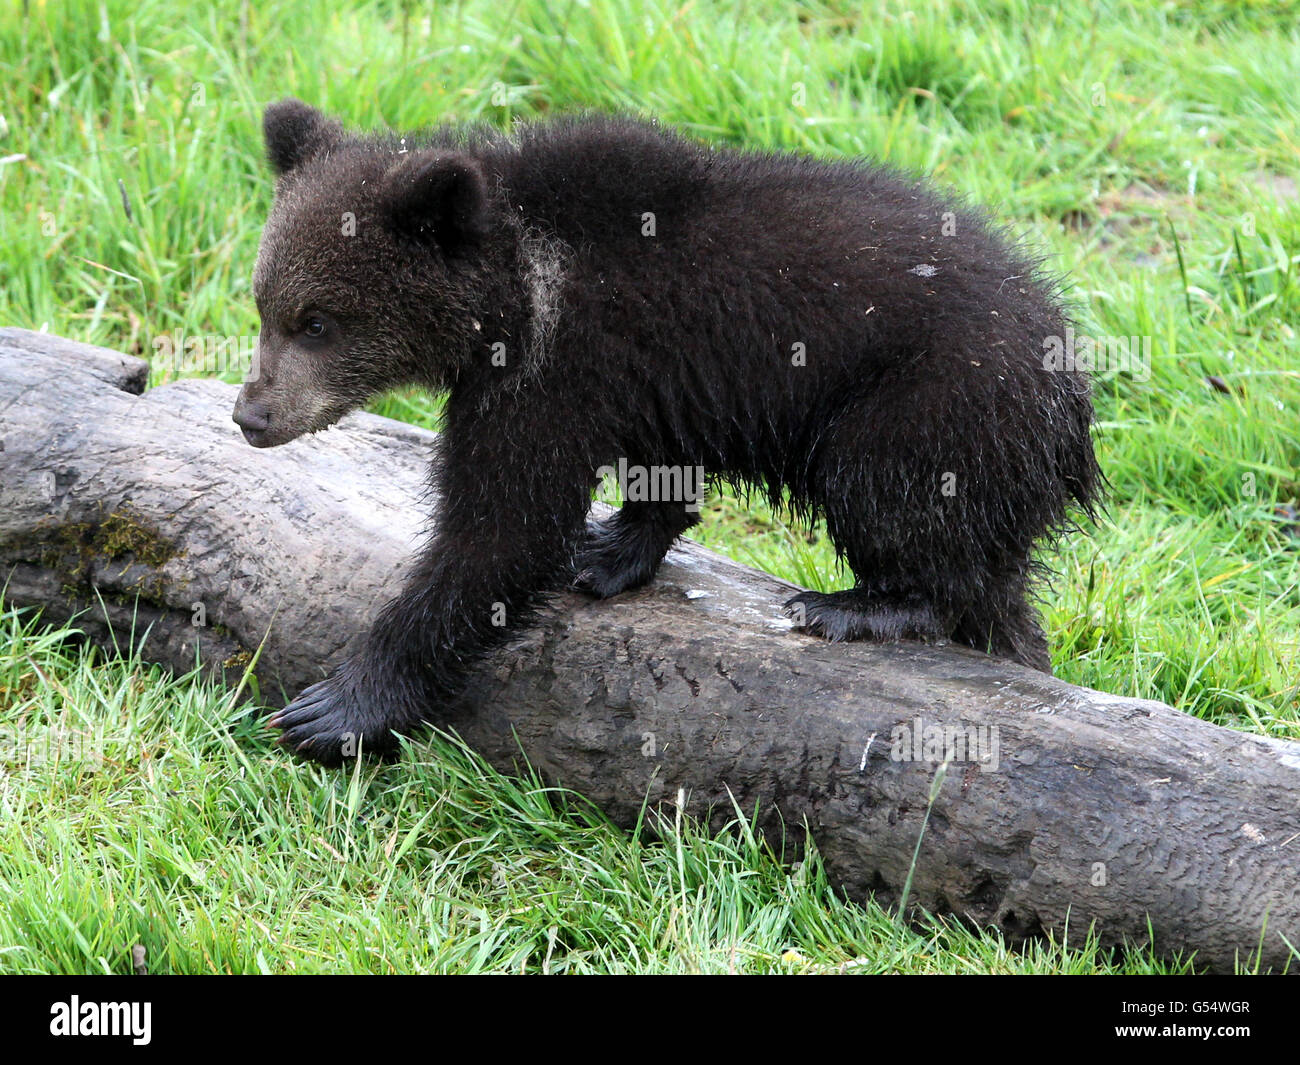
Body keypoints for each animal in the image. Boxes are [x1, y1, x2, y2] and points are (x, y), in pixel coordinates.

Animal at [234, 99, 1100, 766]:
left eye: (317, 321)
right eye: (265, 305)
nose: (251, 415)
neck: (513, 295)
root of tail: (1069, 394)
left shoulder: (551, 375)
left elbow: (498, 533)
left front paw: (333, 705)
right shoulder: (645, 375)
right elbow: (649, 477)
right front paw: (607, 549)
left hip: (929, 401)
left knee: (901, 505)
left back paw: (853, 605)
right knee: (999, 589)